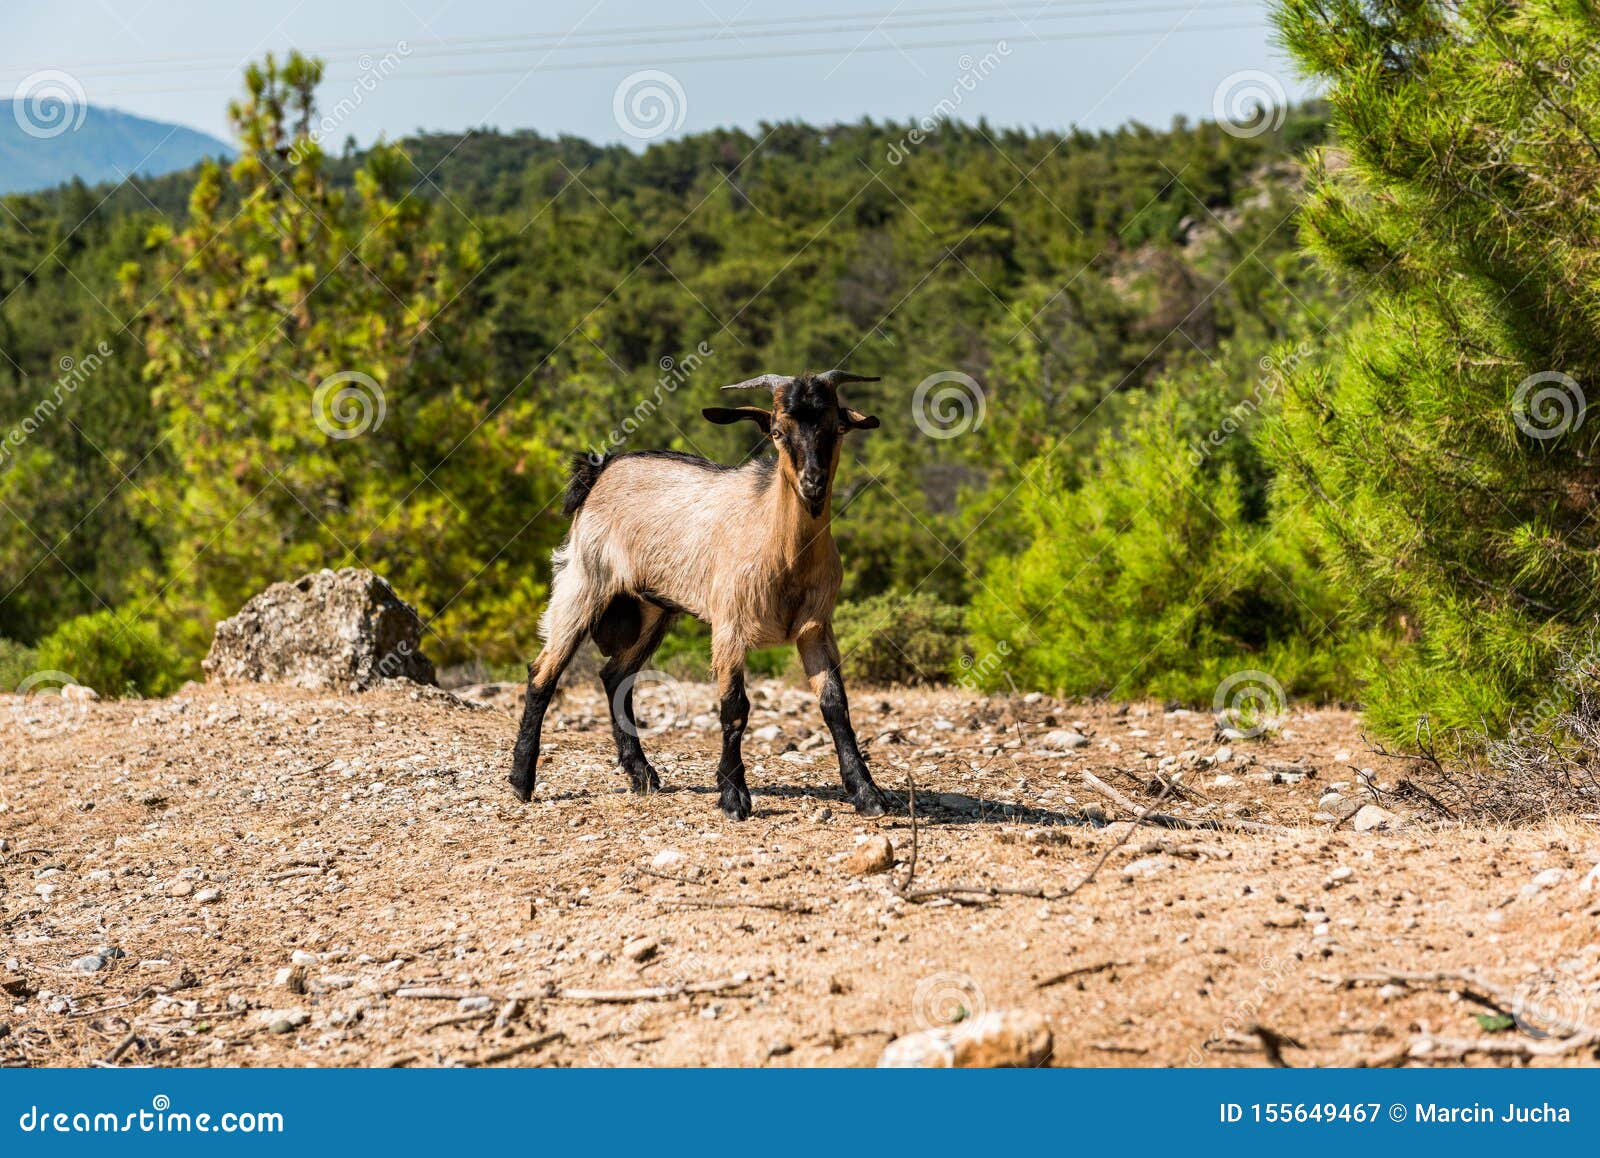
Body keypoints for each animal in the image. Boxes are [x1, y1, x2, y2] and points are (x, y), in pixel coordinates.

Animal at [507, 368, 893, 820]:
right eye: (777, 432)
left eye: (835, 428)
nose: (812, 483)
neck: (782, 550)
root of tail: (600, 470)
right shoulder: (729, 624)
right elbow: (734, 708)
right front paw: (733, 795)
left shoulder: (815, 628)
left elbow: (836, 706)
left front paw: (867, 792)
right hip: (584, 584)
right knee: (543, 673)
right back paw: (522, 780)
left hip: (652, 608)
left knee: (615, 676)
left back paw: (642, 774)